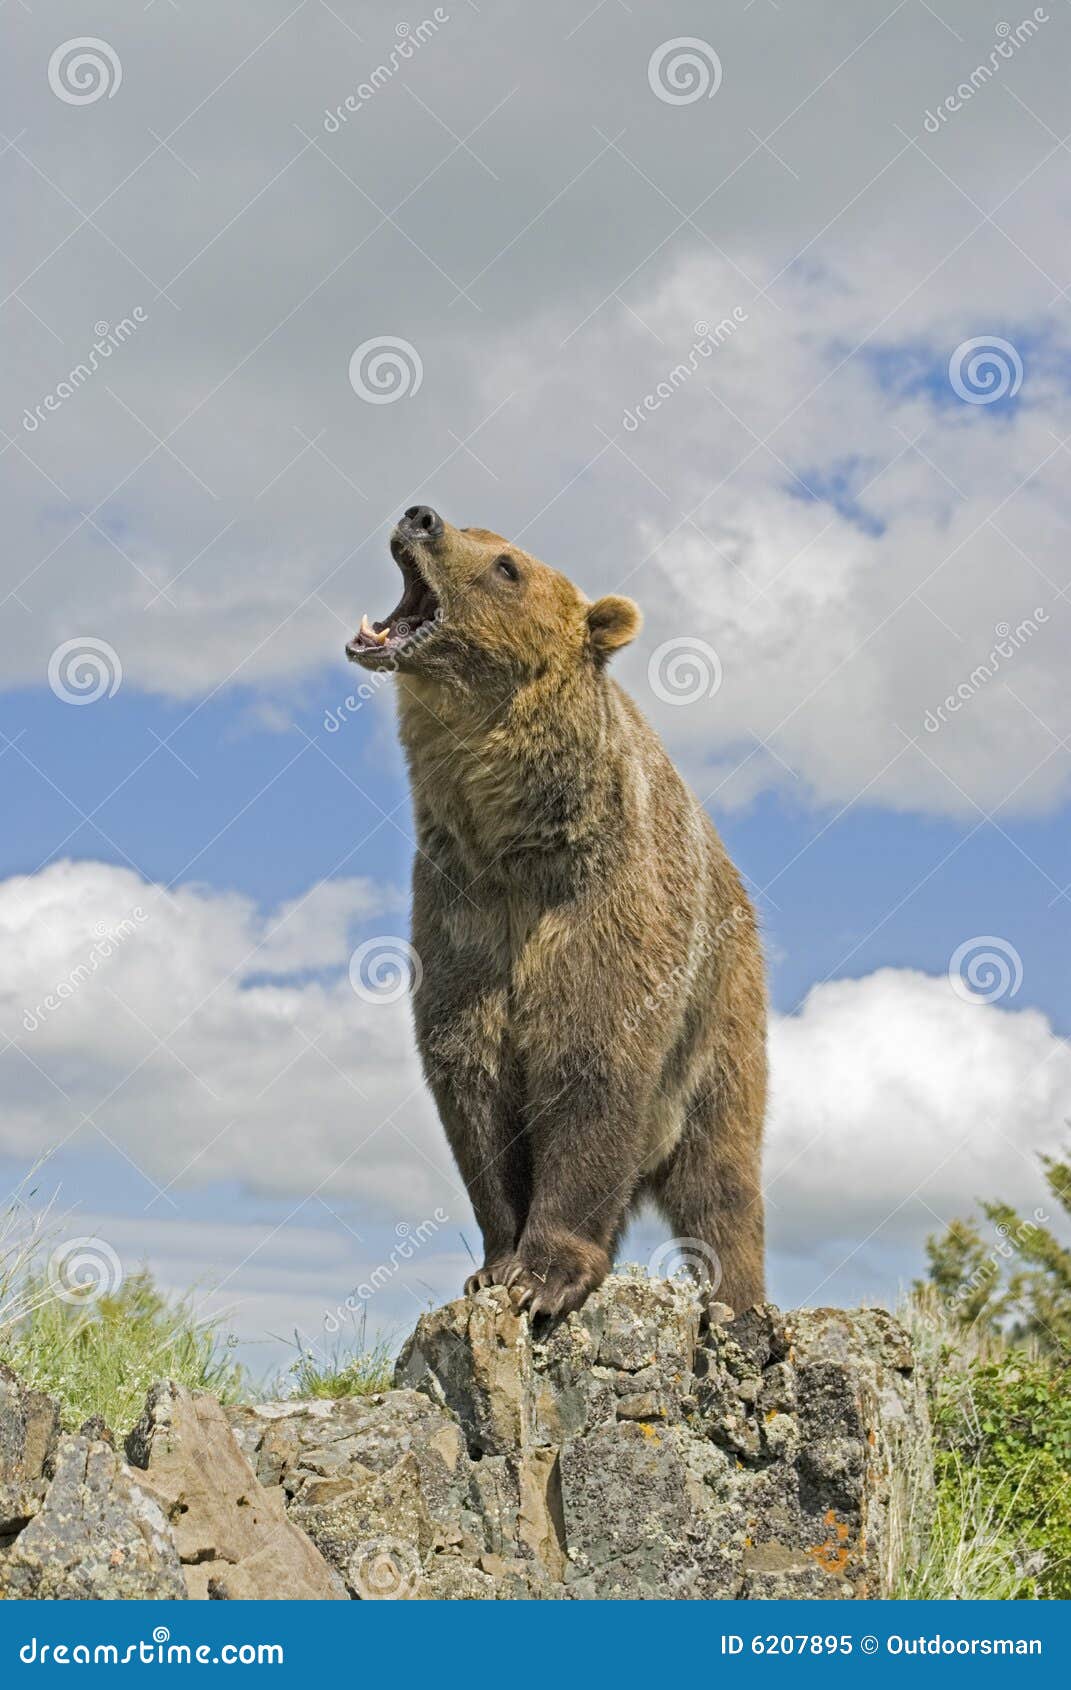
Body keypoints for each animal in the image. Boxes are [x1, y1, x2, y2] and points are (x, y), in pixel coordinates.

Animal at [346, 505, 766, 1318]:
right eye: (473, 529)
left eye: (508, 566)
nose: (420, 517)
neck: (512, 841)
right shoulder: (463, 912)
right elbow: (471, 1081)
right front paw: (494, 1263)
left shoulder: (601, 903)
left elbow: (592, 1059)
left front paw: (544, 1276)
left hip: (721, 1010)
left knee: (720, 1171)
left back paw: (736, 1301)